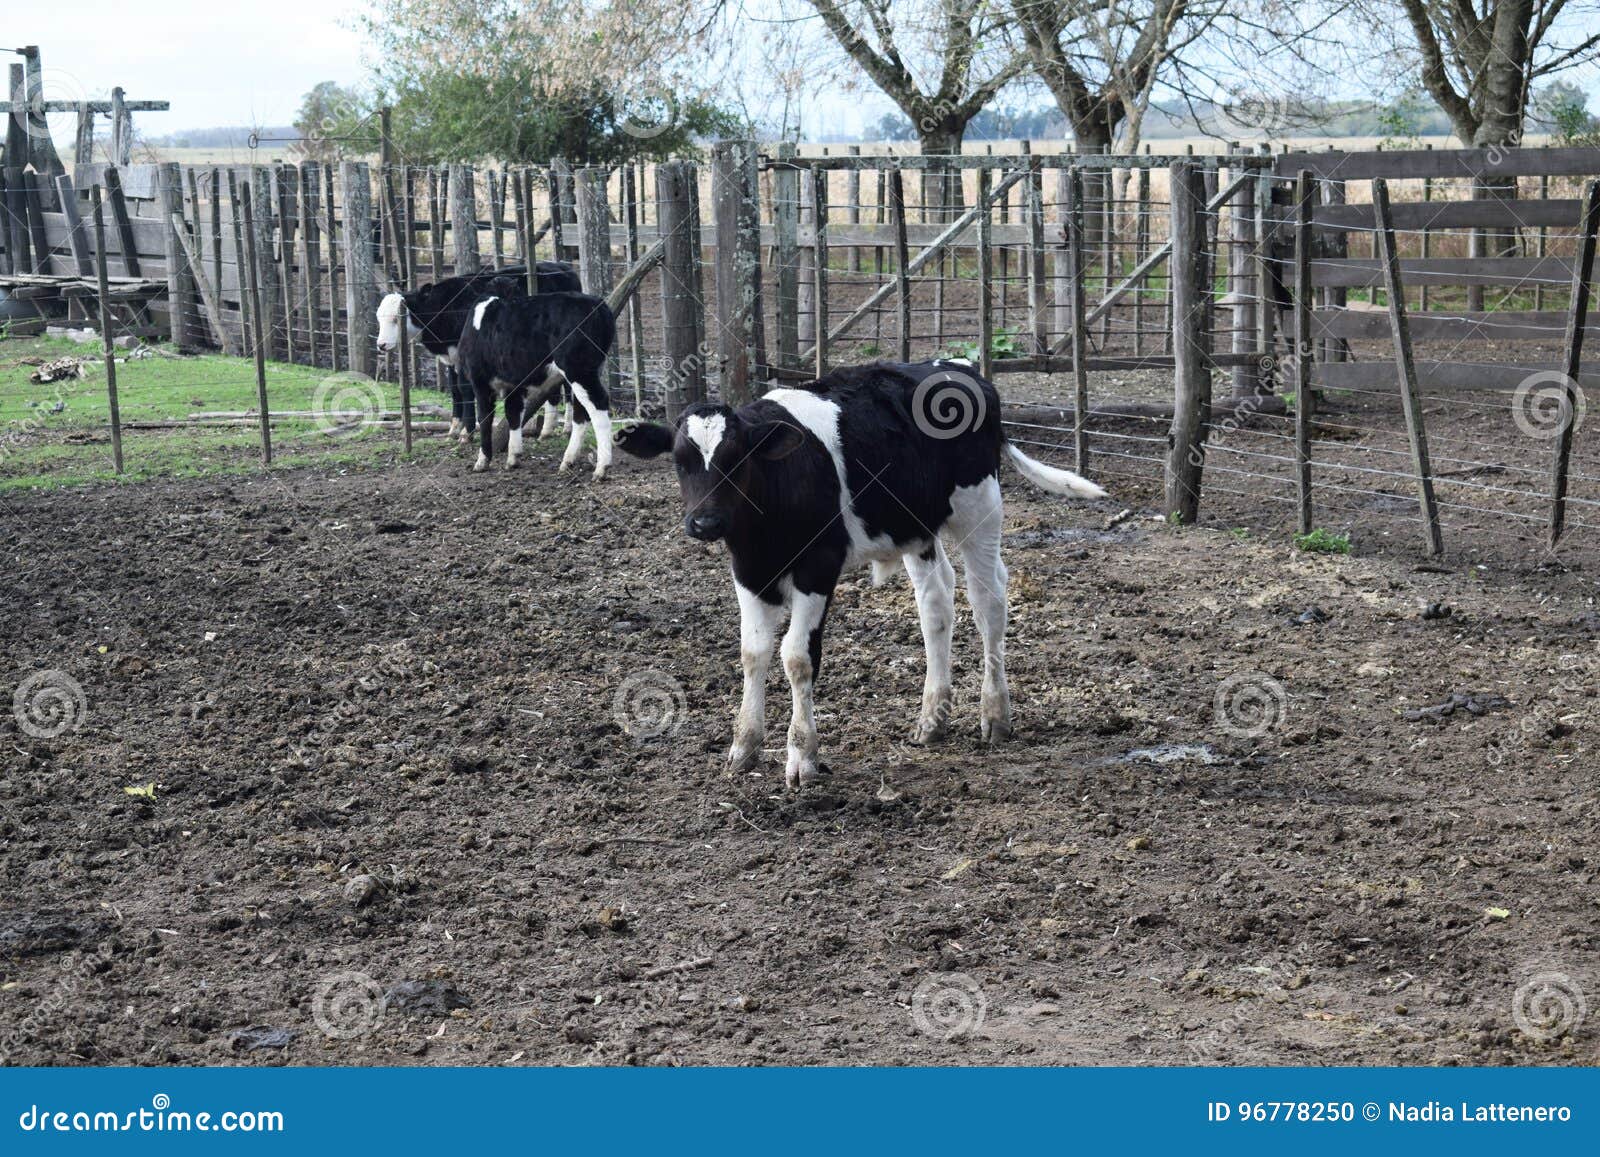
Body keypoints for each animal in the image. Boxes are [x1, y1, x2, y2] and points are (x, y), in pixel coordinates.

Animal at [374, 261, 582, 440]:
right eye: (378, 318)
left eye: (396, 318)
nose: (381, 345)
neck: (447, 307)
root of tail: (562, 266)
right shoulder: (451, 357)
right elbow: (455, 389)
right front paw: (454, 428)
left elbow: (466, 389)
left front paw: (467, 432)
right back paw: (554, 429)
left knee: (566, 389)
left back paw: (558, 428)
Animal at [455, 291, 617, 479]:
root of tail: (597, 303)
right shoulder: (513, 385)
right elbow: (513, 415)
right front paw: (513, 458)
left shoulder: (480, 381)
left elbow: (485, 419)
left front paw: (482, 461)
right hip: (588, 370)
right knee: (580, 412)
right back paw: (568, 461)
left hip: (578, 369)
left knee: (598, 404)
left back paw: (601, 468)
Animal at [615, 359, 1107, 789]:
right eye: (679, 460)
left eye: (737, 459)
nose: (705, 523)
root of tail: (961, 368)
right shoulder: (749, 570)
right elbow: (753, 653)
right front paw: (743, 748)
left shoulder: (818, 565)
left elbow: (797, 656)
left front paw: (802, 757)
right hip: (918, 527)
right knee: (936, 604)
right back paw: (932, 719)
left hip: (980, 508)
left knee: (989, 602)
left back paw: (995, 715)